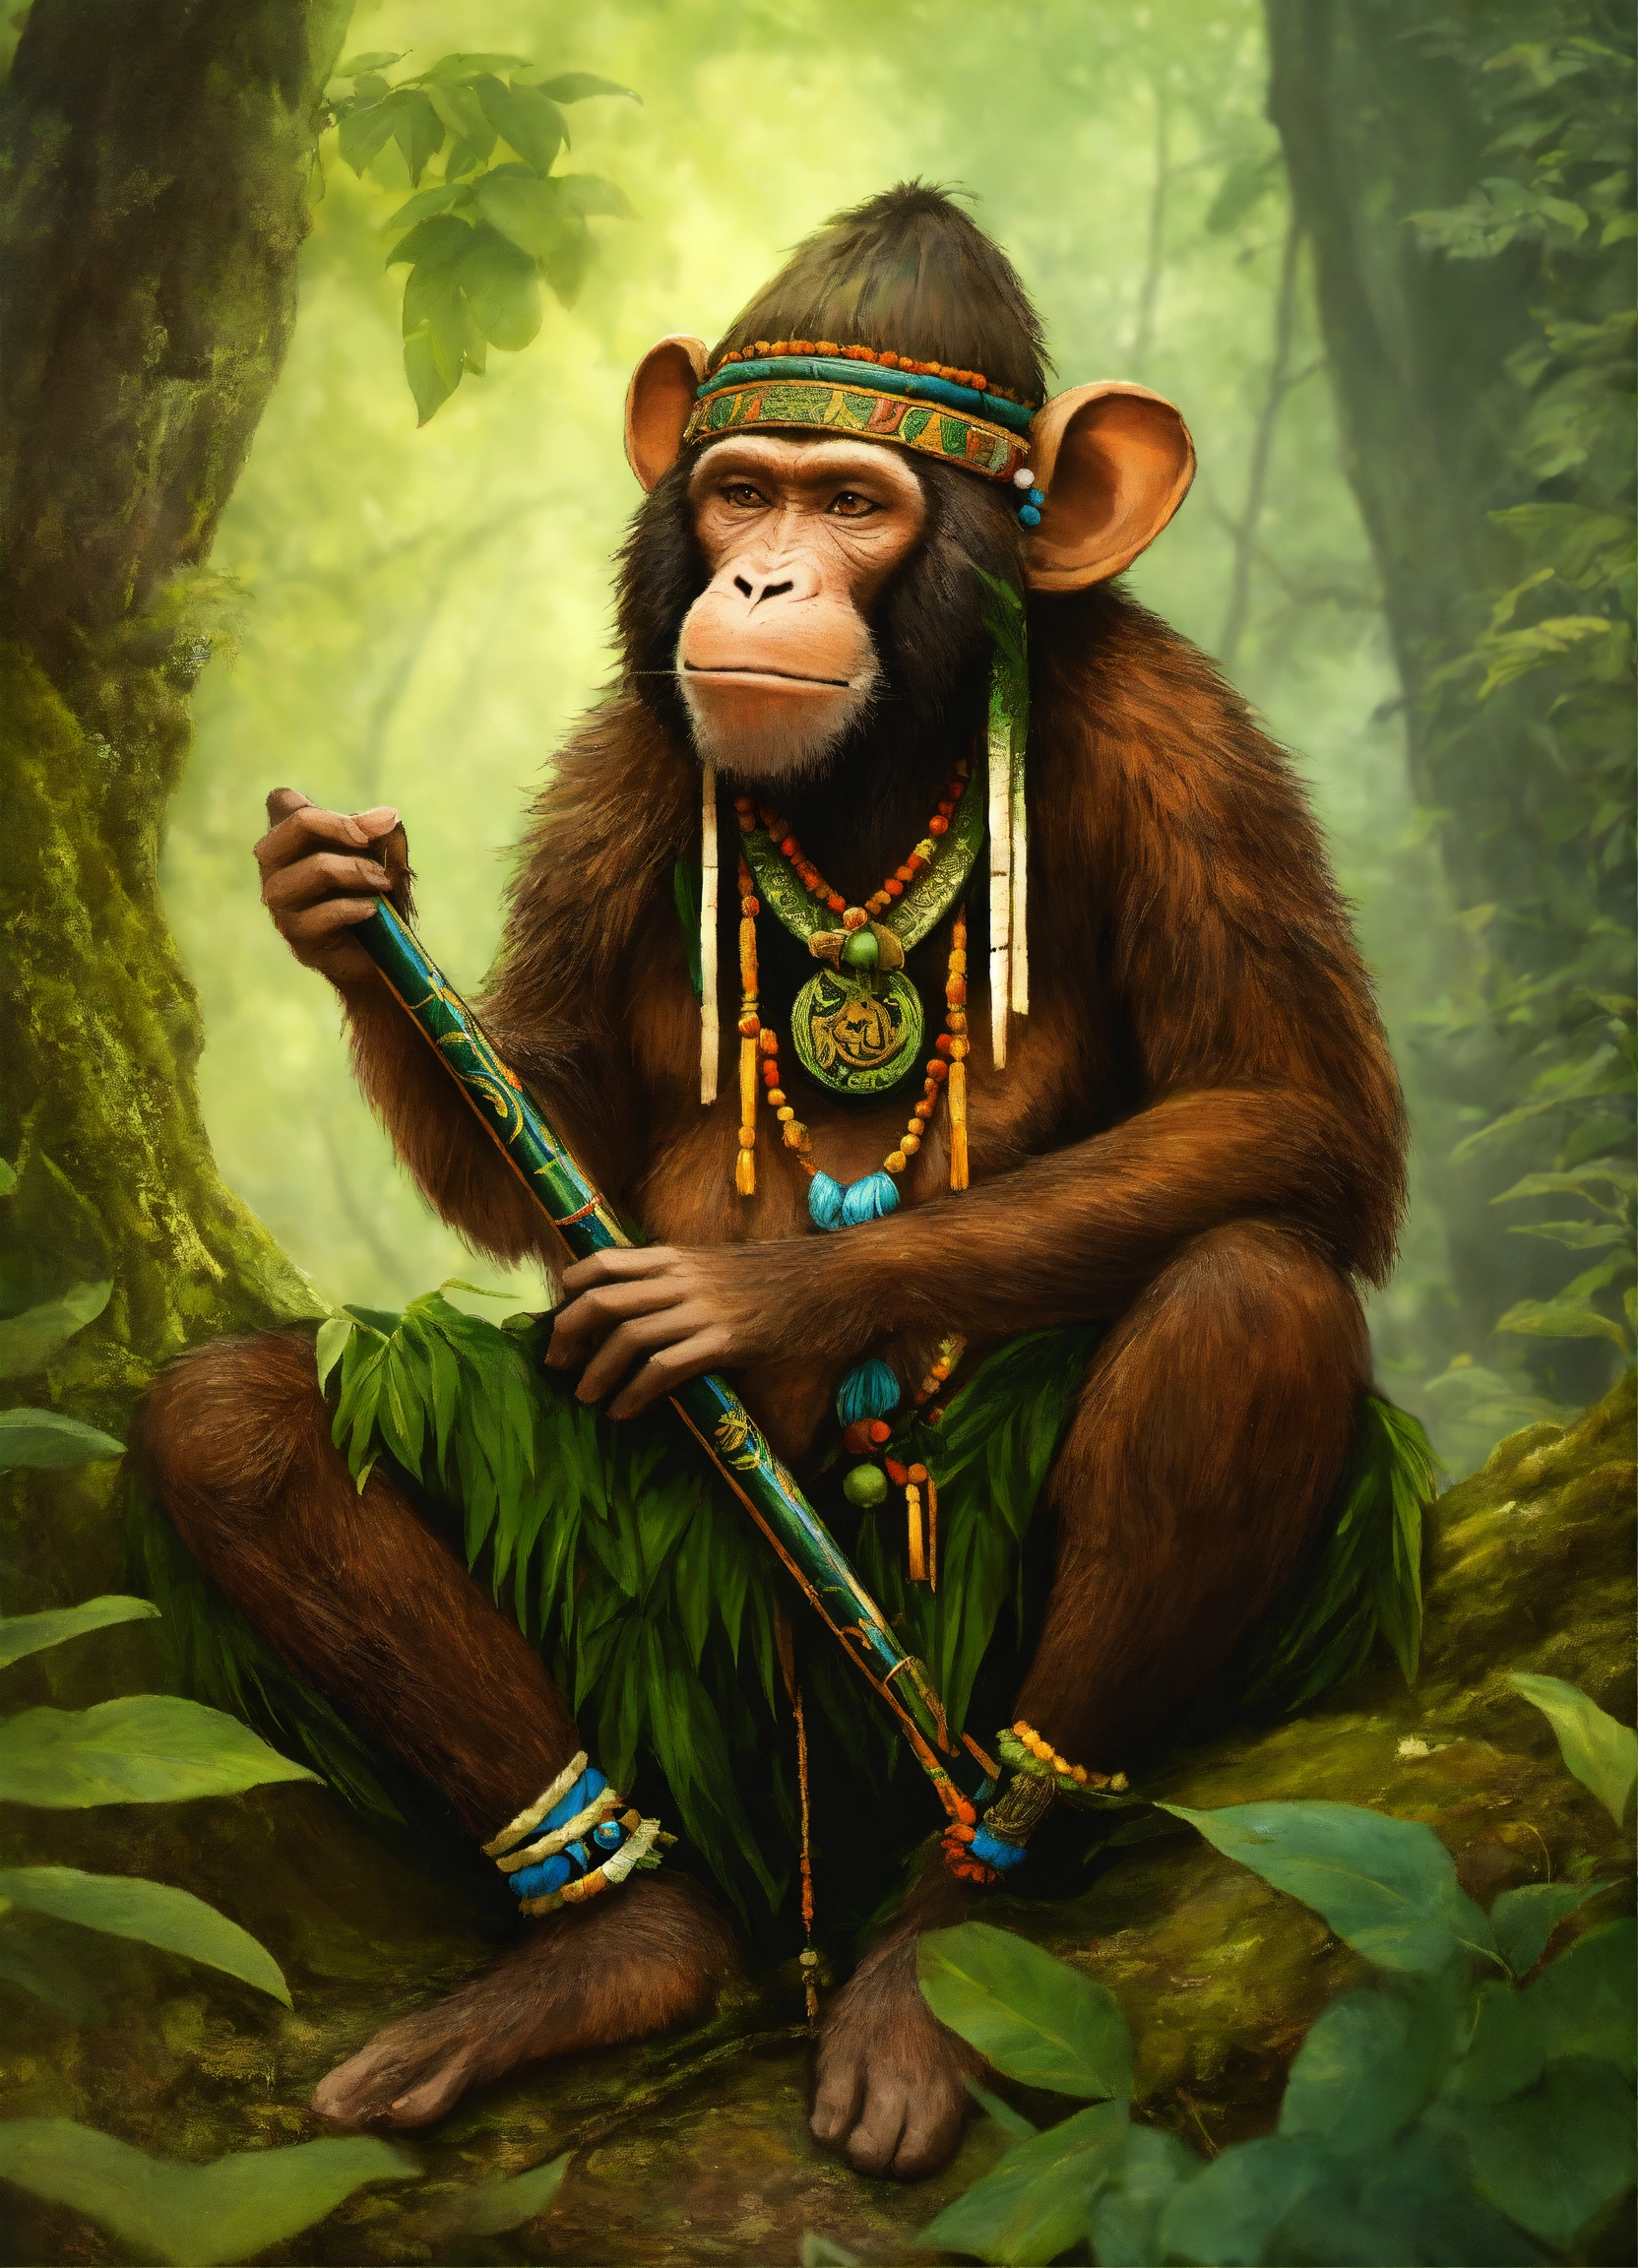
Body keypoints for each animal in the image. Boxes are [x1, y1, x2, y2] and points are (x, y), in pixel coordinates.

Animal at [140, 185, 1405, 2179]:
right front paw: (339, 904)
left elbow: (1299, 1108)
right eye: (742, 491)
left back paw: (948, 1928)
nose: (756, 586)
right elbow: (552, 1111)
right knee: (242, 1427)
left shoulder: (1177, 736)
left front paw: (750, 1301)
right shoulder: (623, 751)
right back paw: (614, 1946)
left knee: (1250, 1301)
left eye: (854, 504)